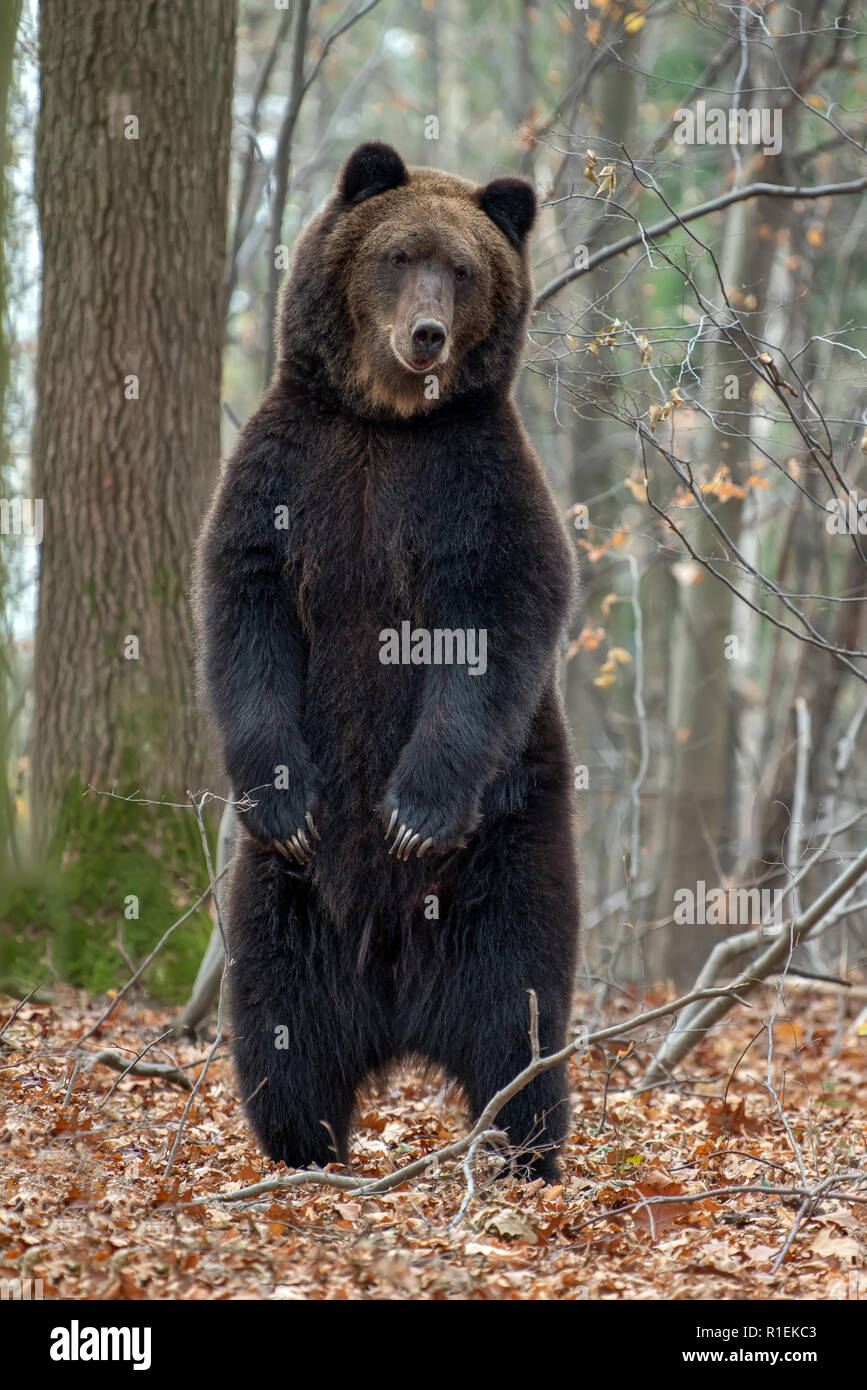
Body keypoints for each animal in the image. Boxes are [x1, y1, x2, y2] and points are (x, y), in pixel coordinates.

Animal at [195, 141, 580, 1182]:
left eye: (464, 267)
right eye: (400, 254)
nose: (427, 336)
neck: (389, 420)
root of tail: (400, 1010)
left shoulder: (473, 486)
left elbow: (497, 625)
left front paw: (412, 811)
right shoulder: (290, 472)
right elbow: (246, 615)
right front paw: (284, 795)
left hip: (510, 848)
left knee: (518, 1017)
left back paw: (522, 1149)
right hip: (286, 902)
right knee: (279, 1023)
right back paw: (305, 1149)